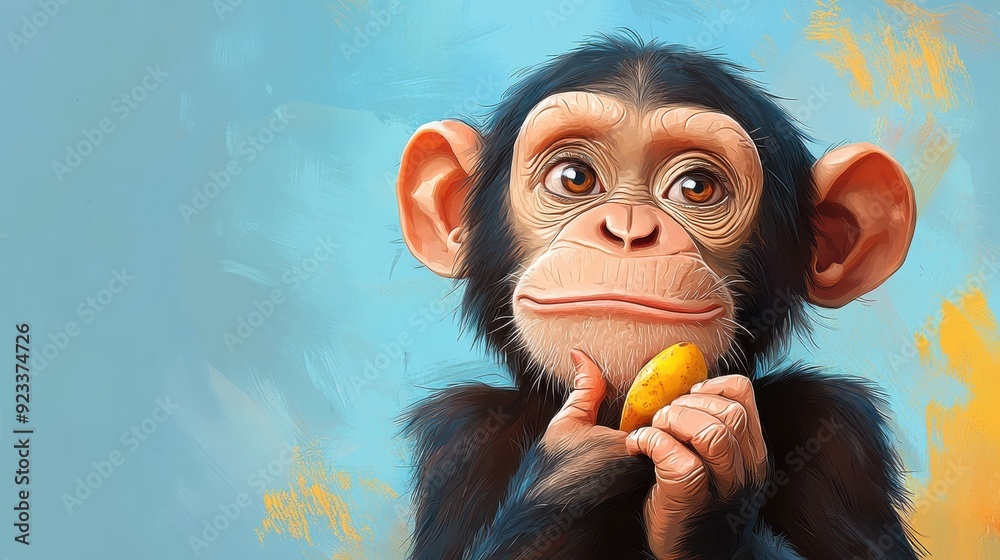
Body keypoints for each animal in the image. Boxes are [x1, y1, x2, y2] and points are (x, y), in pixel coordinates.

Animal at [395, 33, 921, 559]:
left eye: (697, 187)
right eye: (574, 177)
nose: (628, 229)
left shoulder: (841, 430)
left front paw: (709, 491)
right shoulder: (457, 436)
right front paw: (574, 466)